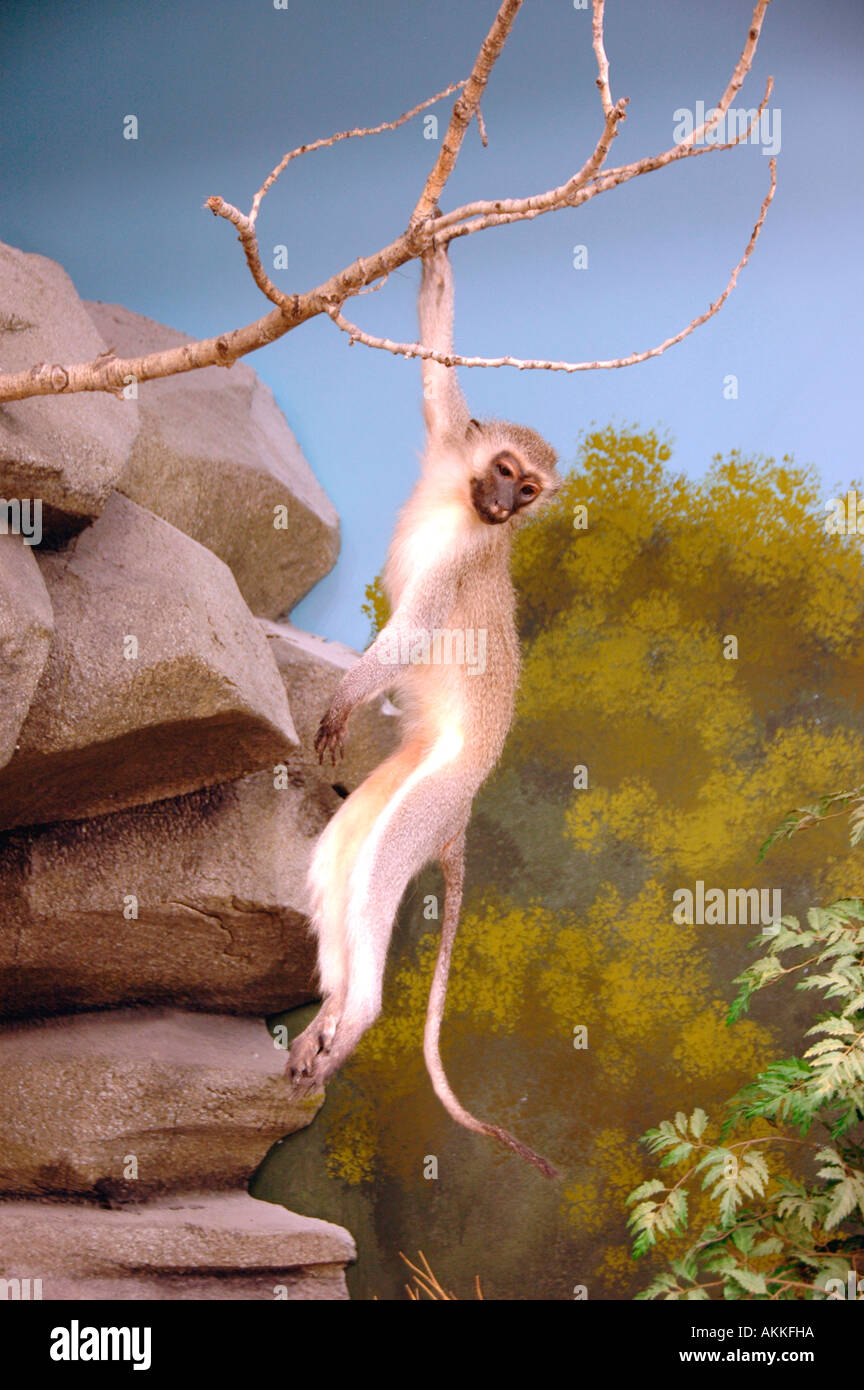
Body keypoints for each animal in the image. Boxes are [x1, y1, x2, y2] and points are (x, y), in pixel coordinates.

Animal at [287, 239, 561, 1179]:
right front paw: (432, 234)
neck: (461, 503)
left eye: (530, 491)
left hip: (429, 797)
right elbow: (436, 356)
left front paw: (346, 692)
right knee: (339, 863)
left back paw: (358, 1016)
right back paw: (331, 1017)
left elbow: (408, 634)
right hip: (399, 784)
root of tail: (464, 799)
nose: (507, 505)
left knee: (372, 876)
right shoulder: (451, 438)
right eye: (505, 472)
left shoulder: (459, 570)